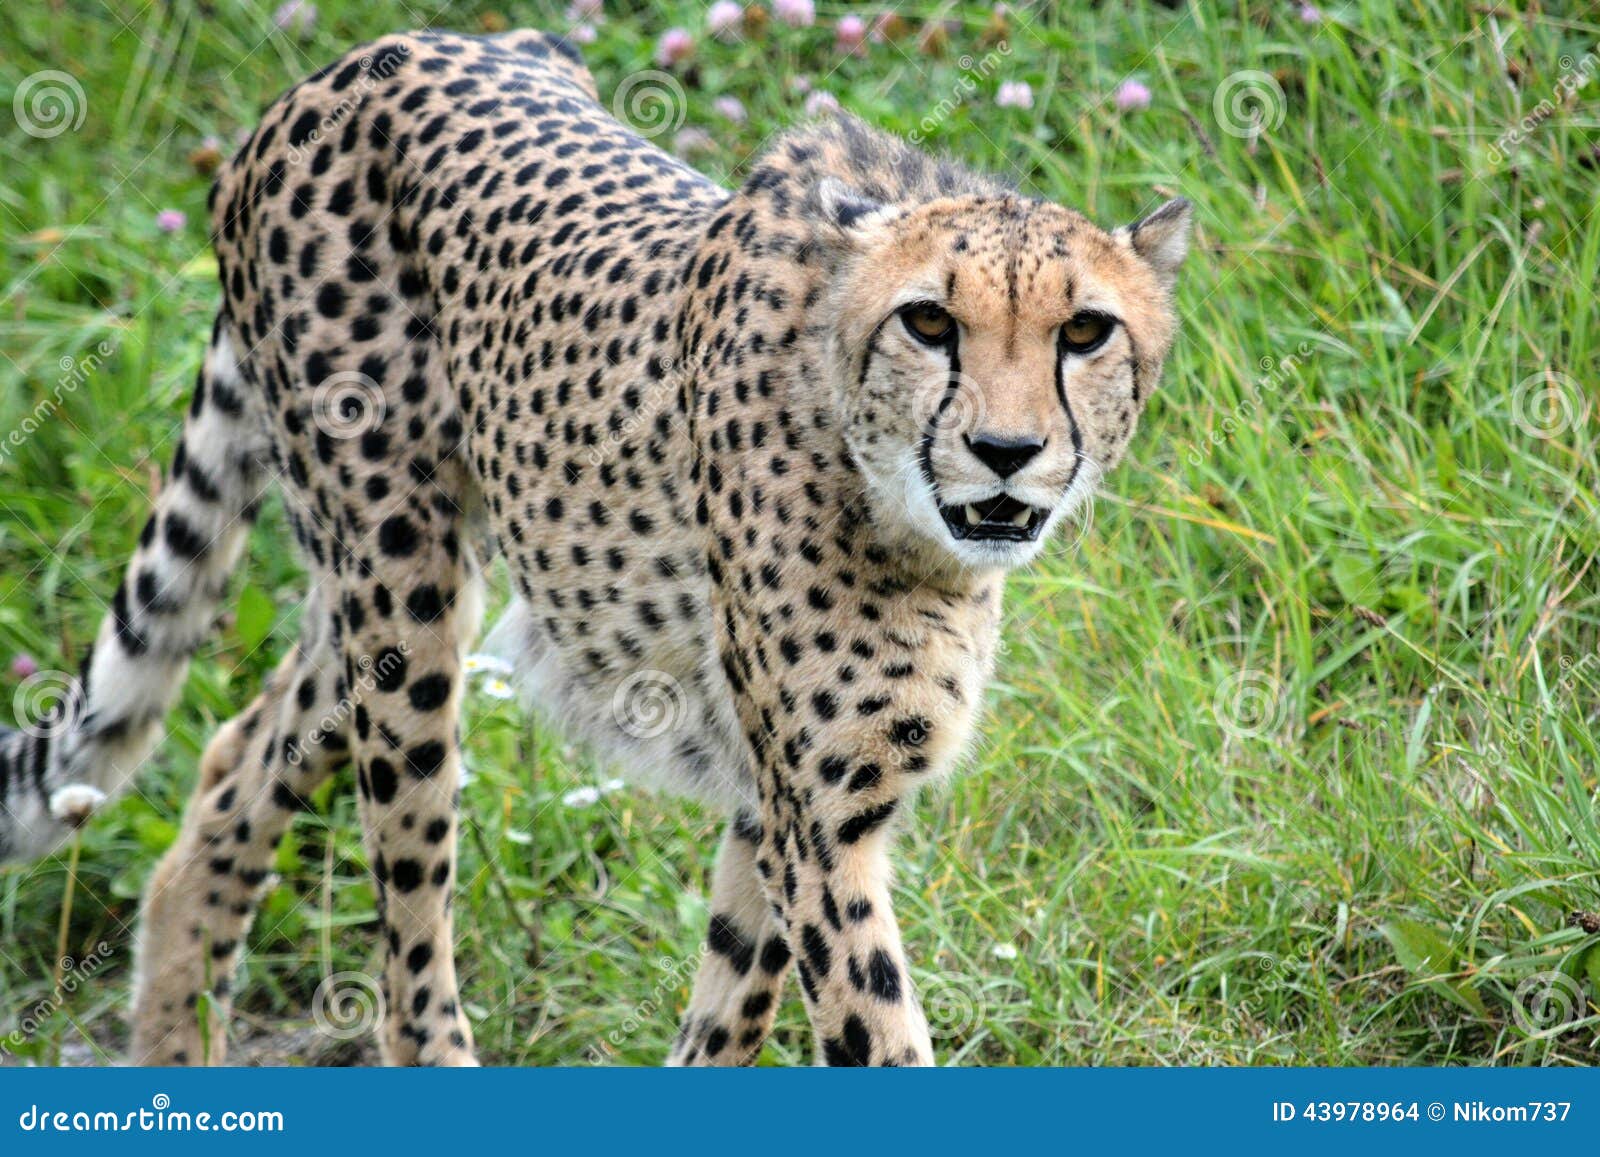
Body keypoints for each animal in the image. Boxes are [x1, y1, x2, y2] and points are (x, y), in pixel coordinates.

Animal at [0, 28, 1190, 1066]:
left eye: (1084, 331)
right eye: (929, 322)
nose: (1005, 452)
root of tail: (357, 62)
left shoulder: (781, 799)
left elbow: (731, 1002)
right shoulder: (816, 818)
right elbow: (874, 1028)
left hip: (371, 597)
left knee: (235, 753)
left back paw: (176, 1037)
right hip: (404, 595)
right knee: (407, 942)